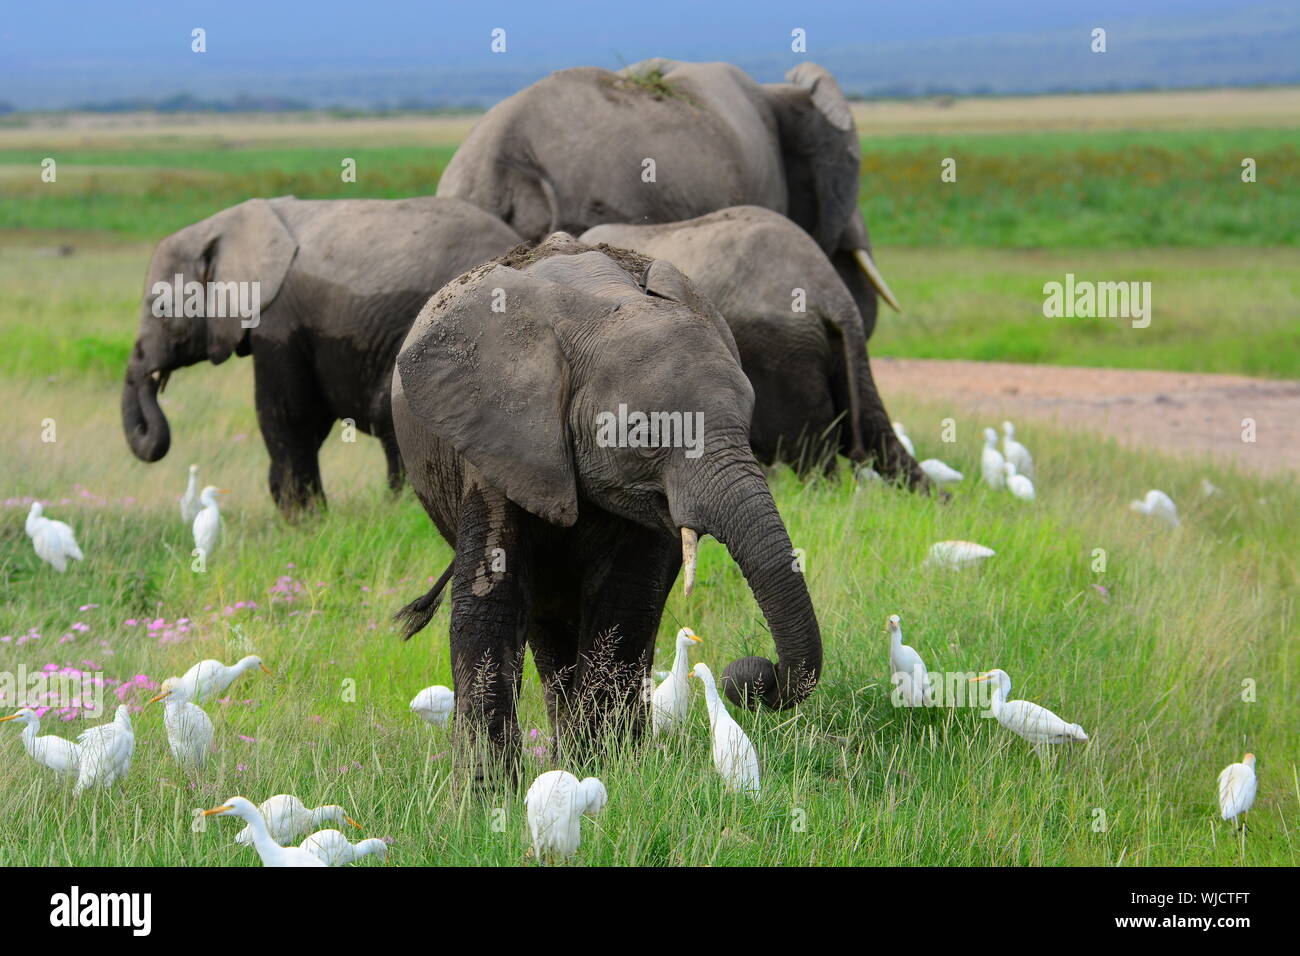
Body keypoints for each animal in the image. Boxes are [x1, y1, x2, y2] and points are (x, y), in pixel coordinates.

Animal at [121, 196, 522, 514]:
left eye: (159, 306)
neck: (222, 223)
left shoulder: (280, 319)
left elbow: (287, 412)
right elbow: (308, 421)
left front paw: (303, 519)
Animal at [391, 233, 822, 776]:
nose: (756, 672)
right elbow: (492, 595)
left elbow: (627, 597)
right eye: (643, 433)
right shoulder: (497, 439)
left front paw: (606, 767)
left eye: (747, 421)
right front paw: (491, 789)